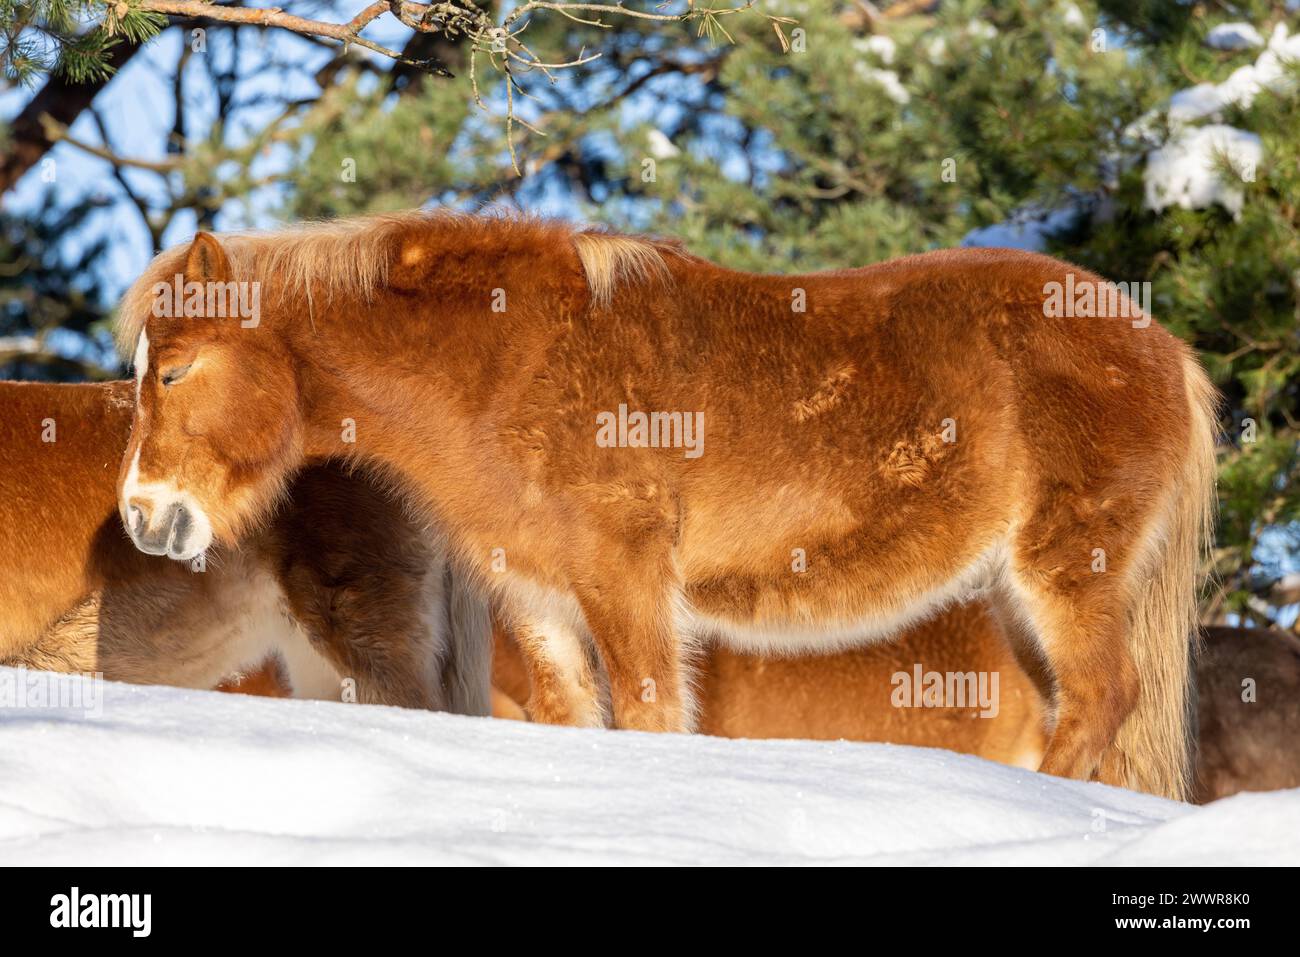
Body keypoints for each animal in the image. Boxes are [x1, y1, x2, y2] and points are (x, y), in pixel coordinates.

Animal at [113, 211, 1218, 799]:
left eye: (173, 372)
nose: (142, 516)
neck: (508, 368)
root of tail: (1163, 352)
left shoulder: (628, 586)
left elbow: (650, 717)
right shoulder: (542, 602)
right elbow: (580, 721)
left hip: (1065, 571)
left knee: (1100, 699)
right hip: (1018, 597)